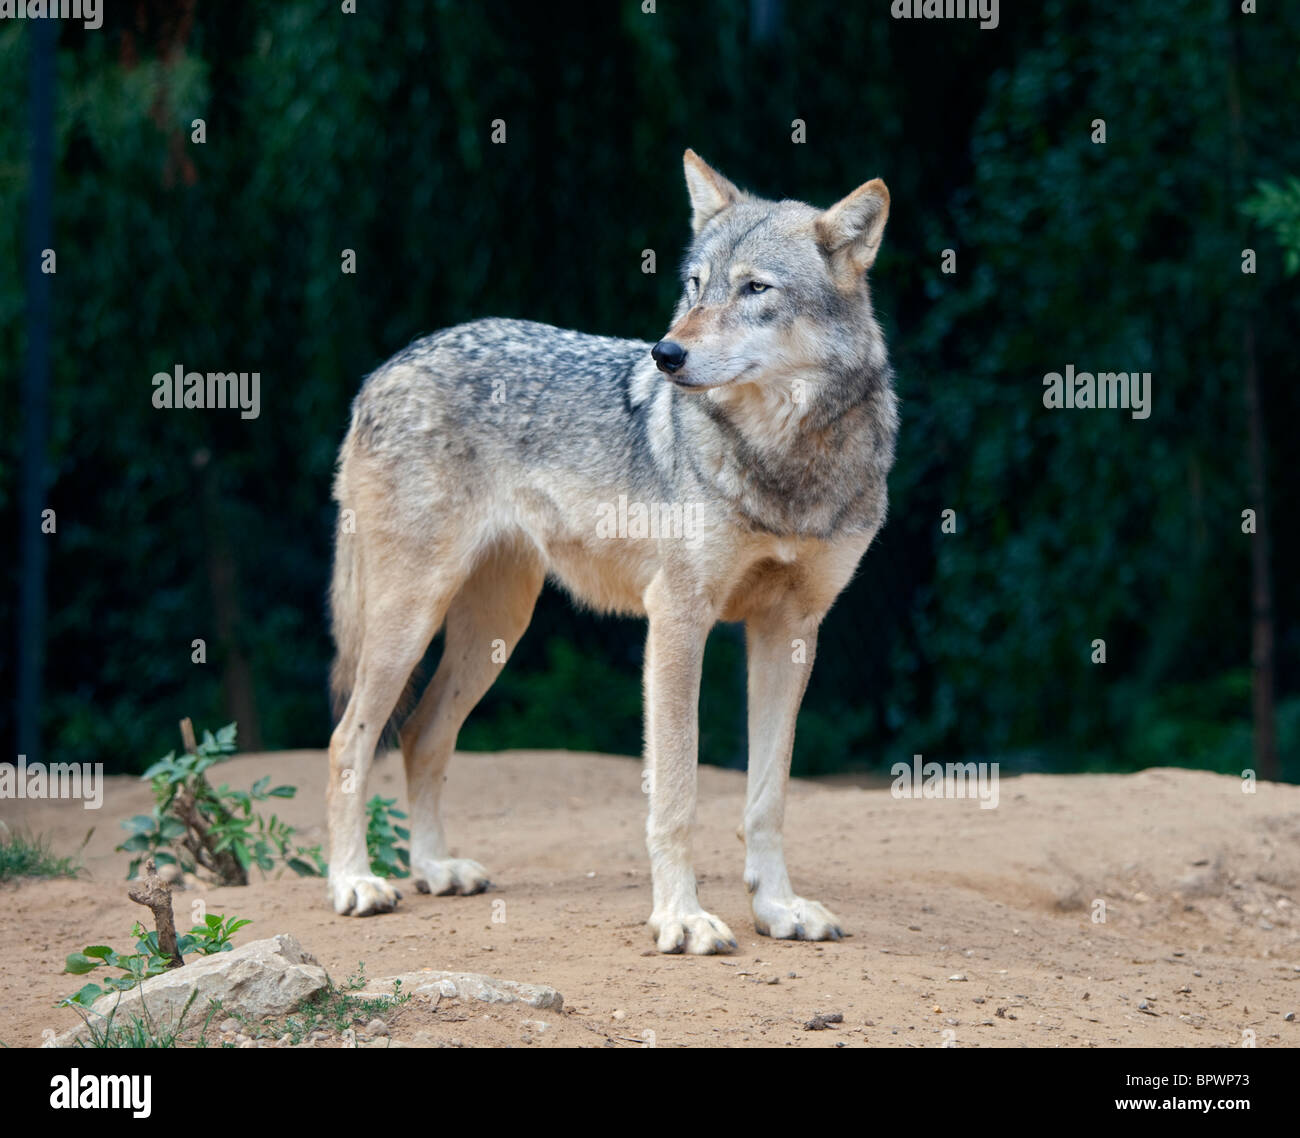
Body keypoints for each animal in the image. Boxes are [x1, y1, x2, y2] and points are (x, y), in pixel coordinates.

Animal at [326, 150, 897, 954]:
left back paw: (435, 869)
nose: (666, 354)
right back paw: (353, 882)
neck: (782, 461)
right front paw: (682, 919)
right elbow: (678, 793)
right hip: (410, 622)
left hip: (494, 632)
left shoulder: (790, 633)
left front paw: (779, 910)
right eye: (694, 285)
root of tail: (389, 366)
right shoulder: (678, 620)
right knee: (349, 741)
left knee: (420, 735)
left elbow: (768, 799)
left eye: (755, 289)